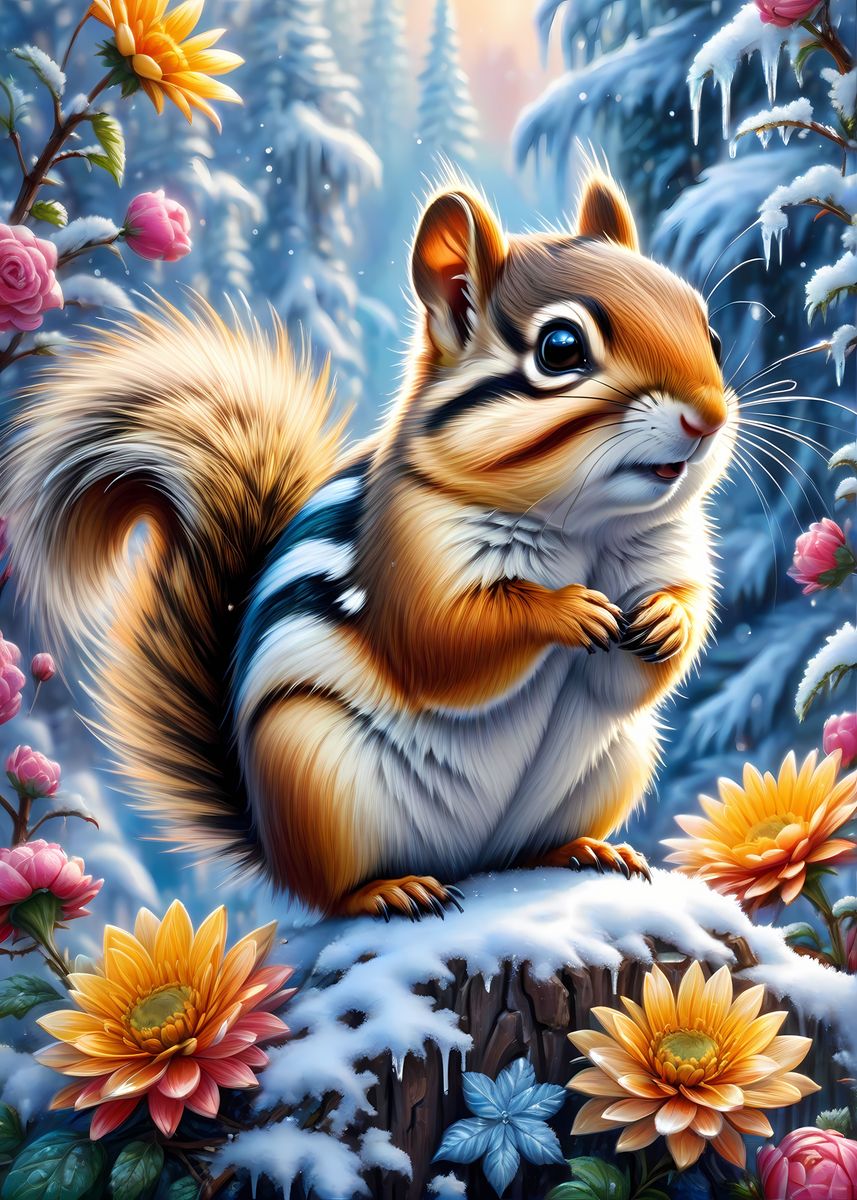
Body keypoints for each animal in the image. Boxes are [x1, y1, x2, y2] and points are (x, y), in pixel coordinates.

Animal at [1, 169, 734, 919]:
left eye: (708, 331)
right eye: (560, 348)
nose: (707, 417)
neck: (586, 525)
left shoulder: (670, 554)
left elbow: (643, 664)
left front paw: (667, 620)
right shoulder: (408, 557)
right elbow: (441, 643)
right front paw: (565, 609)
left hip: (615, 762)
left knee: (527, 848)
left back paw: (585, 849)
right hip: (313, 767)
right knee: (331, 891)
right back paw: (389, 889)